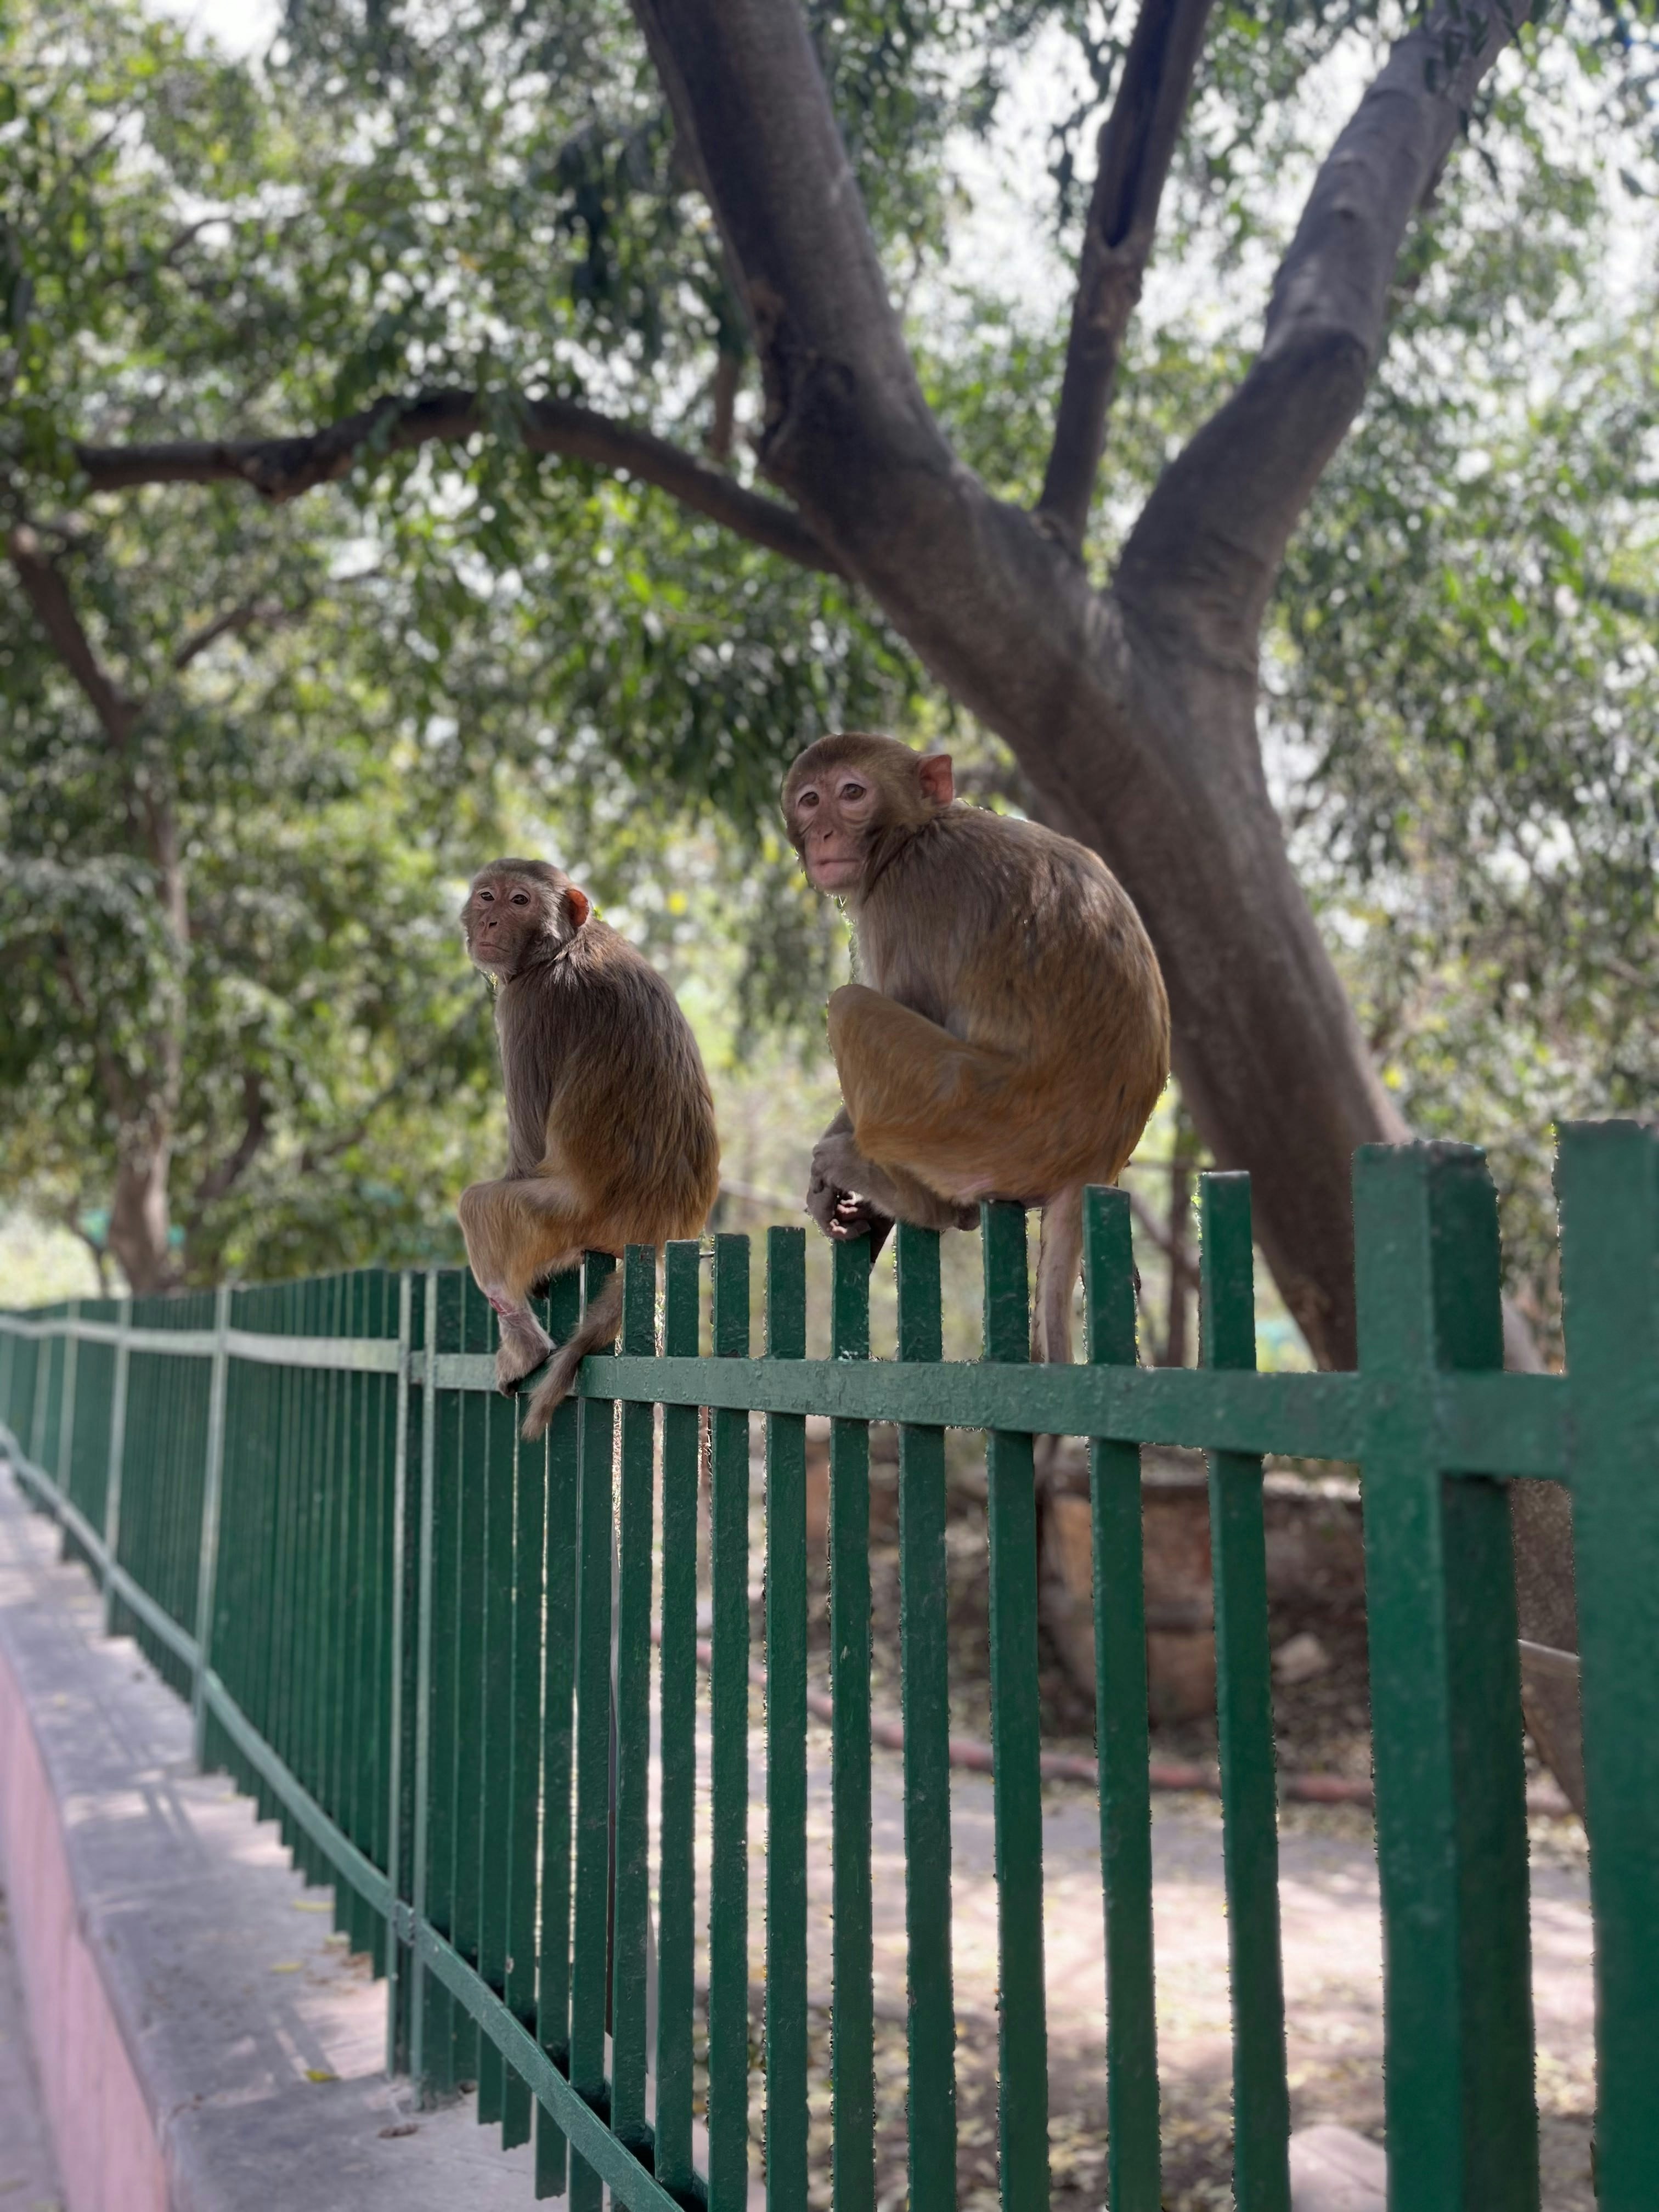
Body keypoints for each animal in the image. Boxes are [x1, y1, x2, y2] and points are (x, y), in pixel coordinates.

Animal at [457, 858, 720, 1440]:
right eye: (487, 896)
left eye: (519, 901)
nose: (489, 922)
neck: (560, 947)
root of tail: (662, 1235)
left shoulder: (526, 1008)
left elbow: (528, 1152)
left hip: (573, 1217)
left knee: (480, 1207)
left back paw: (528, 1346)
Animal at [783, 734, 1169, 1365]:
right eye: (810, 801)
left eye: (852, 793)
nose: (824, 836)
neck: (915, 832)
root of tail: (1094, 1160)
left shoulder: (903, 899)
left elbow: (910, 1003)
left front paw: (828, 1171)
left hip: (973, 1120)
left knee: (851, 1008)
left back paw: (918, 1200)